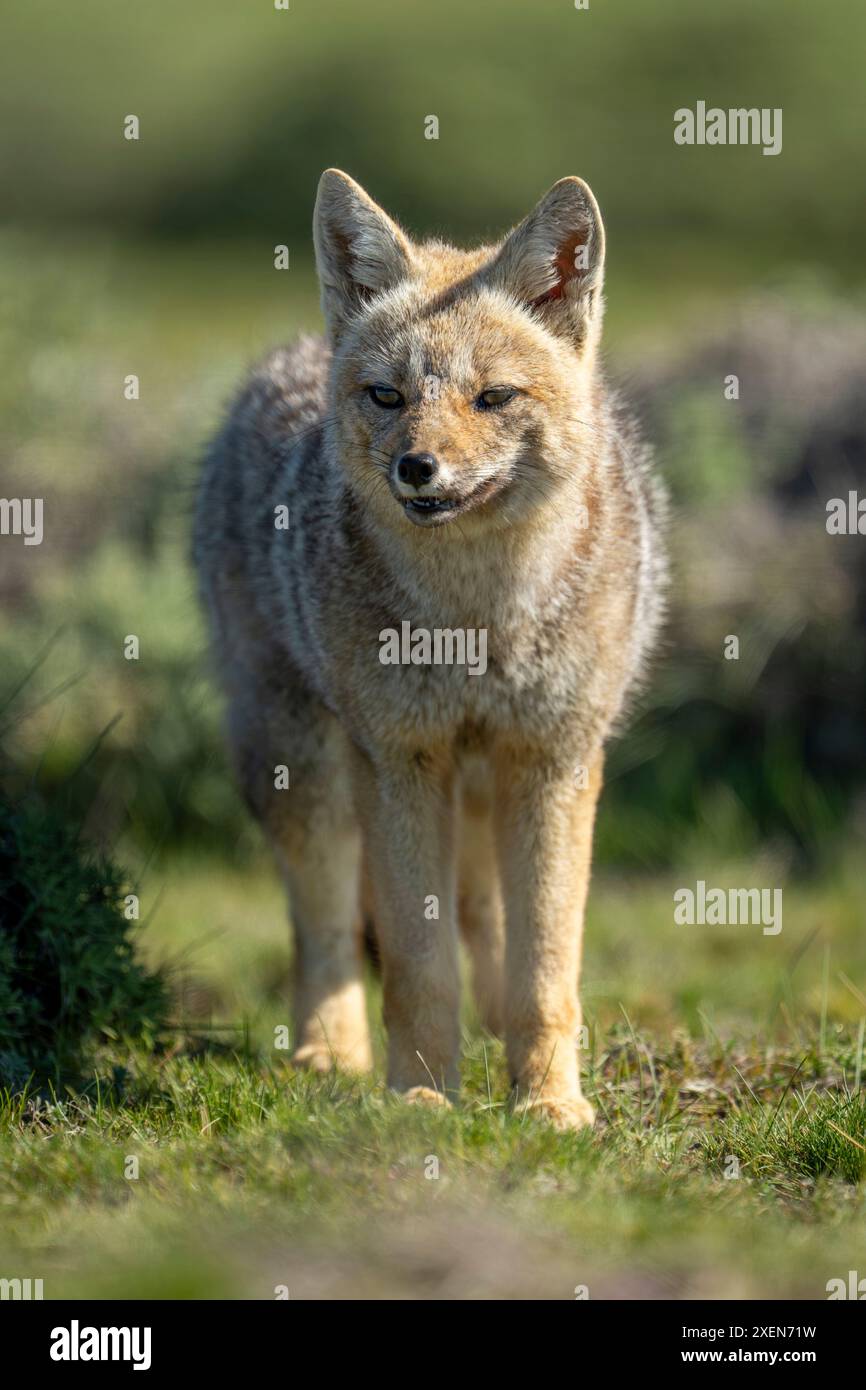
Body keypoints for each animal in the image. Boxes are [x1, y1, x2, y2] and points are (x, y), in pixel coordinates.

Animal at [194, 169, 666, 1130]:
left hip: (479, 782)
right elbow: (415, 965)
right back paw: (330, 1053)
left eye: (493, 398)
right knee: (327, 931)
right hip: (308, 774)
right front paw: (417, 1095)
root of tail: (292, 351)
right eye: (388, 396)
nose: (417, 467)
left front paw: (550, 1102)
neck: (478, 623)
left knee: (483, 913)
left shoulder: (554, 760)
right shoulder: (400, 760)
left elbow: (545, 970)